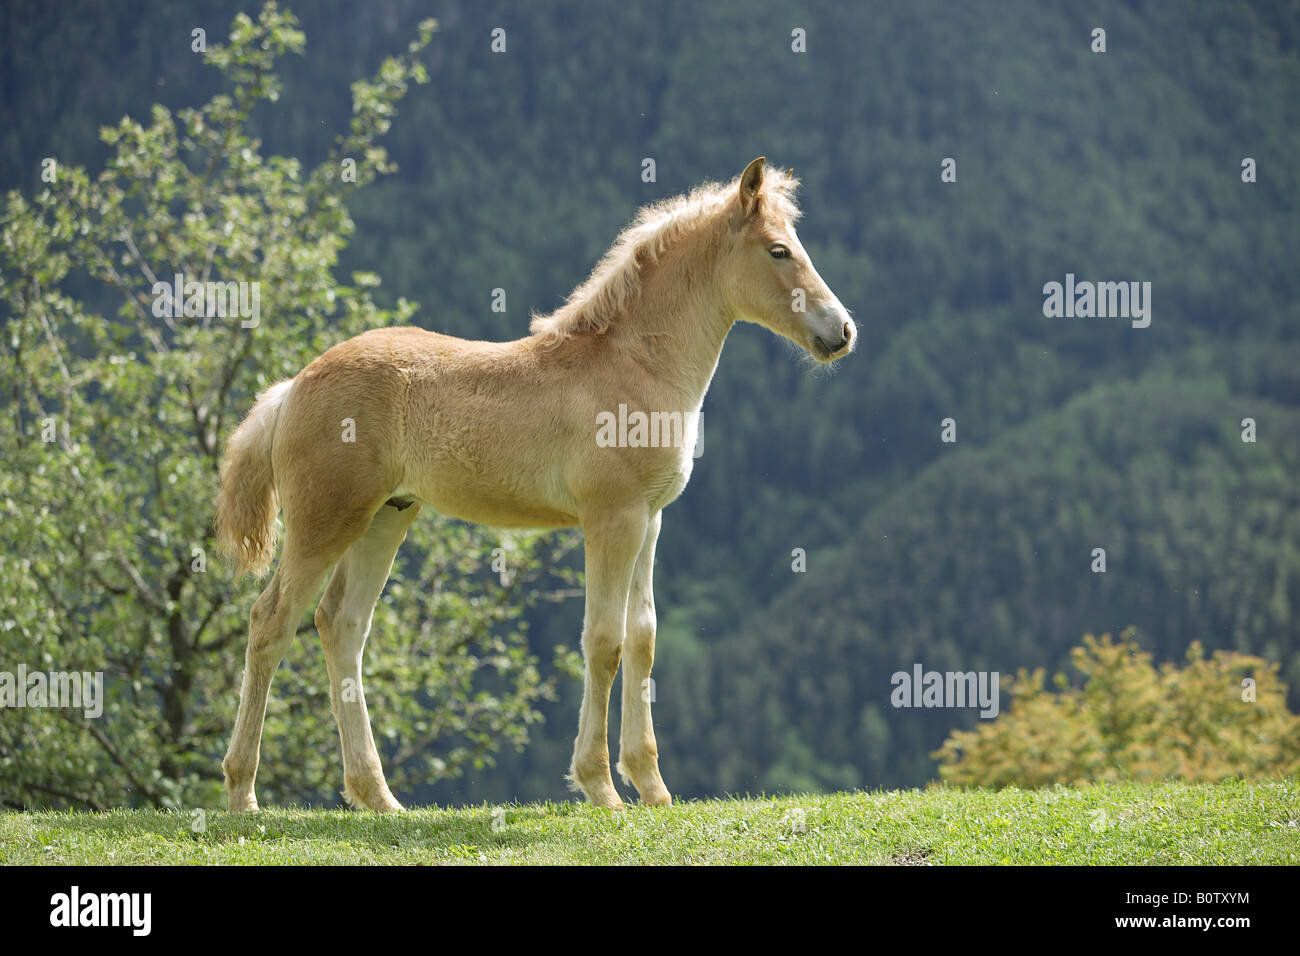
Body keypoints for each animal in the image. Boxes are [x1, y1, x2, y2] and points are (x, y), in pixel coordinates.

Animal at [214, 156, 855, 812]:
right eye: (779, 250)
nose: (843, 331)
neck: (633, 364)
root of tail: (292, 386)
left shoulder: (650, 519)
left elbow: (643, 637)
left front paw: (653, 788)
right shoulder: (612, 519)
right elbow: (604, 641)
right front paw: (601, 787)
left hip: (387, 516)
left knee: (340, 625)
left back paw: (379, 797)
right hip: (326, 520)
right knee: (270, 622)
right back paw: (243, 794)